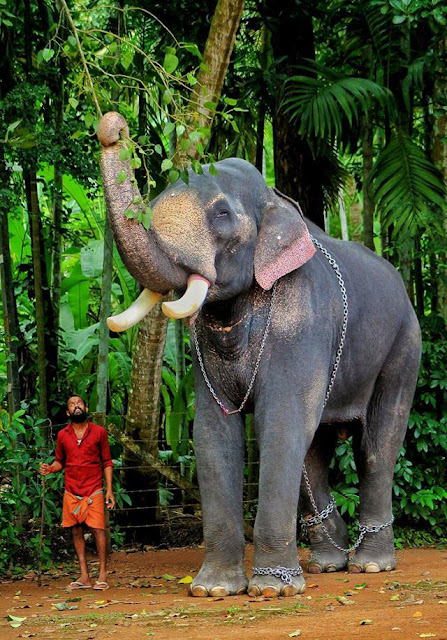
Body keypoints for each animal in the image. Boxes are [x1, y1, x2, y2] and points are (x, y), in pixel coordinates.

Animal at [98, 112, 421, 598]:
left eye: (222, 214)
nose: (111, 126)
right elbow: (212, 433)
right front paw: (213, 590)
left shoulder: (301, 322)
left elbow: (280, 422)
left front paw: (273, 590)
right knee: (315, 450)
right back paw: (328, 564)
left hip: (404, 345)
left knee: (376, 445)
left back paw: (371, 566)